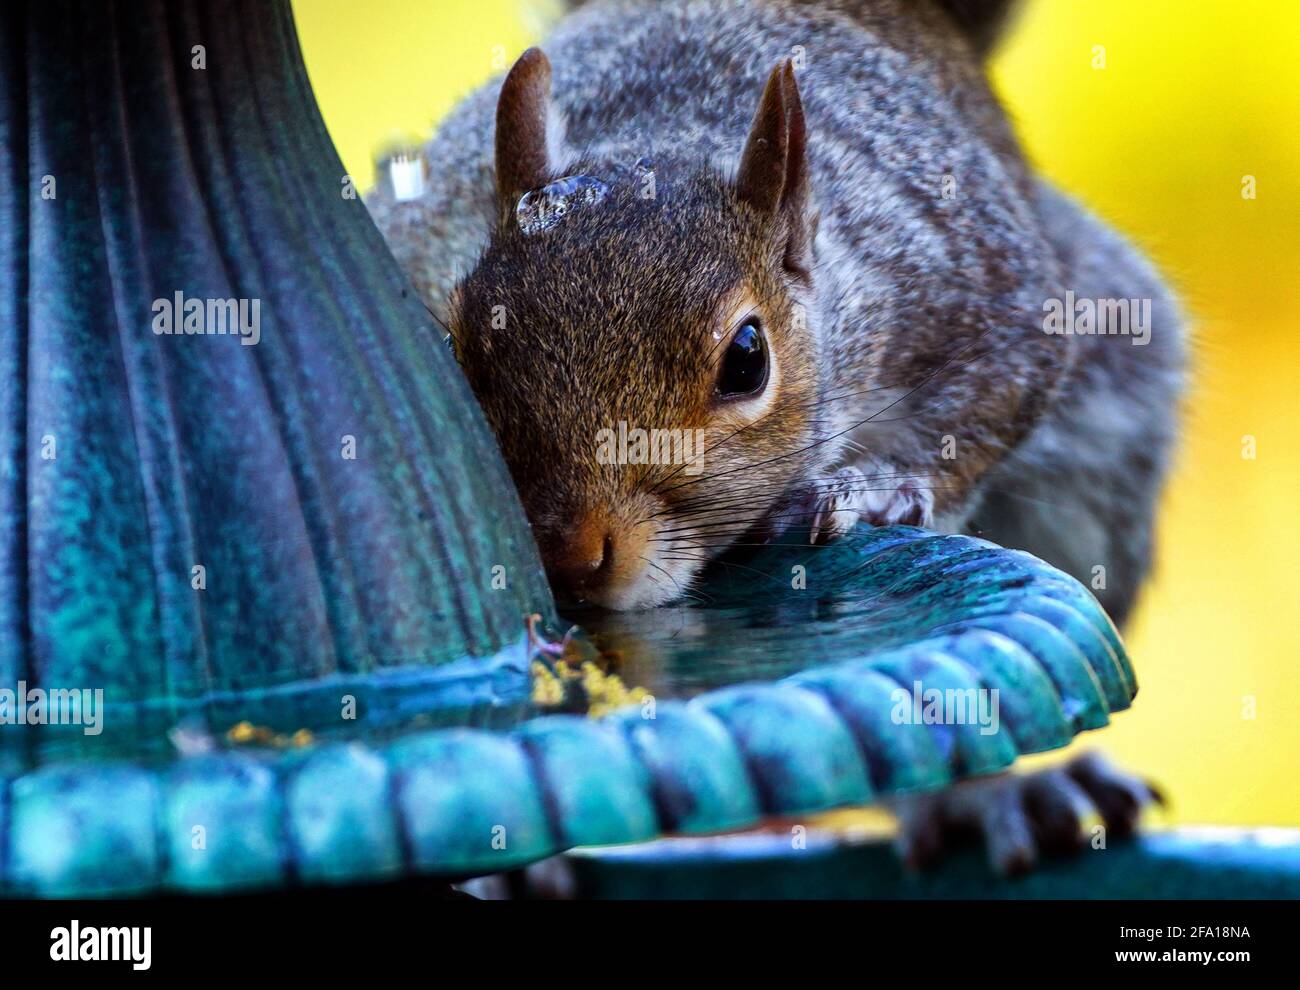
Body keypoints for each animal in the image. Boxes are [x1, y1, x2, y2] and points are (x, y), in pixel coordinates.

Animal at [367, 0, 1184, 876]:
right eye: (455, 344)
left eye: (747, 359)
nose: (569, 558)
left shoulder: (971, 281)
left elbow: (996, 396)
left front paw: (871, 489)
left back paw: (991, 795)